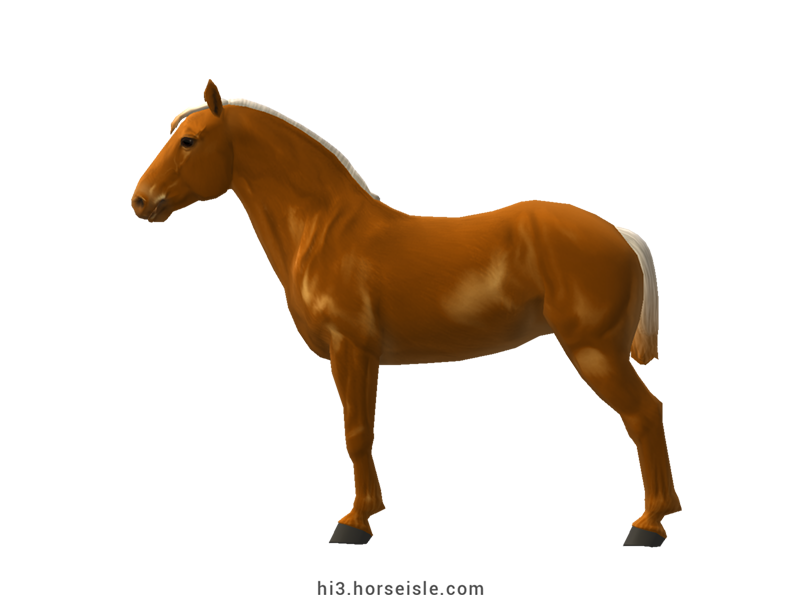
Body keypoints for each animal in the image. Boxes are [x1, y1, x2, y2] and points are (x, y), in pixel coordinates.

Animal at [132, 83, 679, 538]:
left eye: (189, 141)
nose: (140, 200)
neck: (325, 230)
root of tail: (622, 239)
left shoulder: (350, 348)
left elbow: (356, 432)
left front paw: (358, 517)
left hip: (596, 351)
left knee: (646, 416)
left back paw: (652, 519)